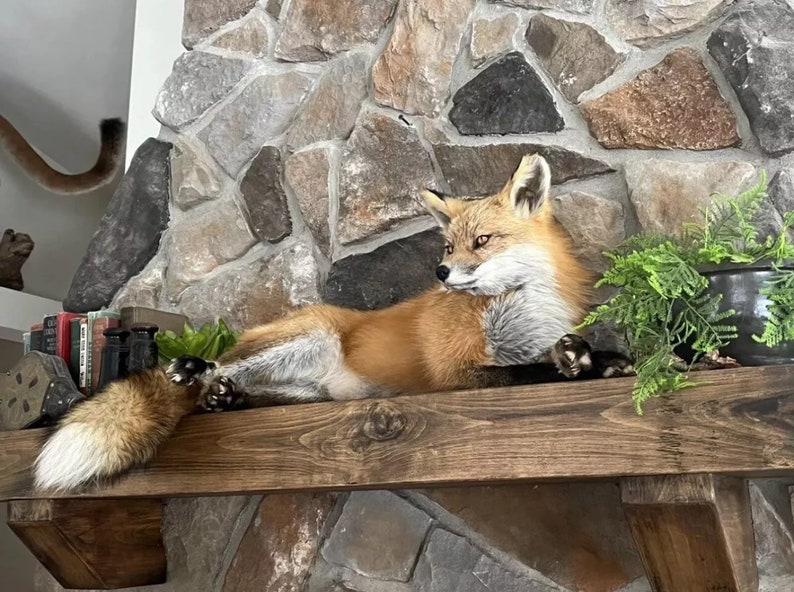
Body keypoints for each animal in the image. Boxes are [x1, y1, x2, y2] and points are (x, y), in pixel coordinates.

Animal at [33, 154, 633, 492]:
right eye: (448, 246)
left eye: (482, 241)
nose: (441, 272)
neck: (516, 308)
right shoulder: (455, 374)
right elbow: (522, 373)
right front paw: (575, 367)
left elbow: (556, 356)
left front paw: (605, 360)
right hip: (298, 339)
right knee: (215, 369)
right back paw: (192, 370)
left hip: (316, 396)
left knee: (237, 397)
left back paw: (227, 399)